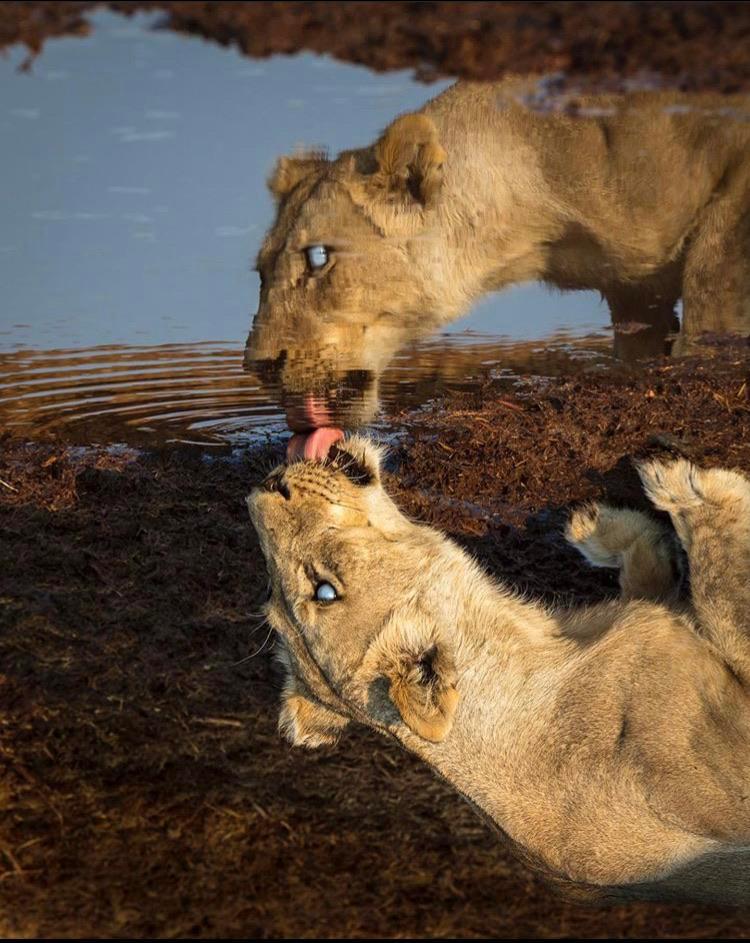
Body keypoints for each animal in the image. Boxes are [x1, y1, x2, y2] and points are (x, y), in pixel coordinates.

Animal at [247, 439, 750, 905]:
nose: (265, 489)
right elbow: (724, 591)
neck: (542, 638)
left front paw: (595, 525)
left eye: (279, 593)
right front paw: (687, 487)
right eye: (324, 590)